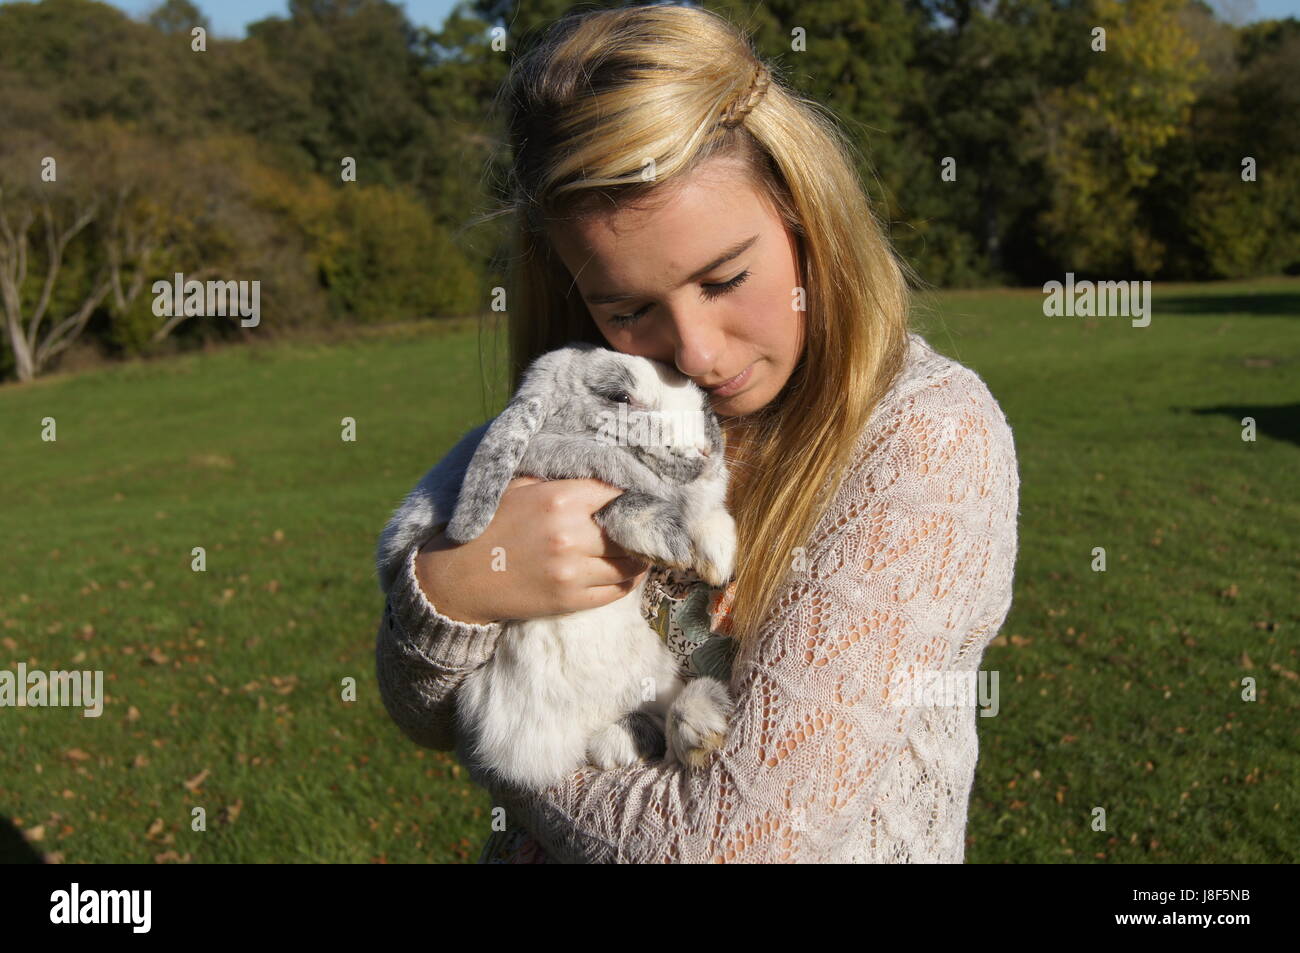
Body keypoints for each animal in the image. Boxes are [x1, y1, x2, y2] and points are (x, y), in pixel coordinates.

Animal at [387, 341, 738, 792]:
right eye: (619, 397)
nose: (709, 450)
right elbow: (624, 503)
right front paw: (670, 543)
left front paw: (718, 553)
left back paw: (696, 724)